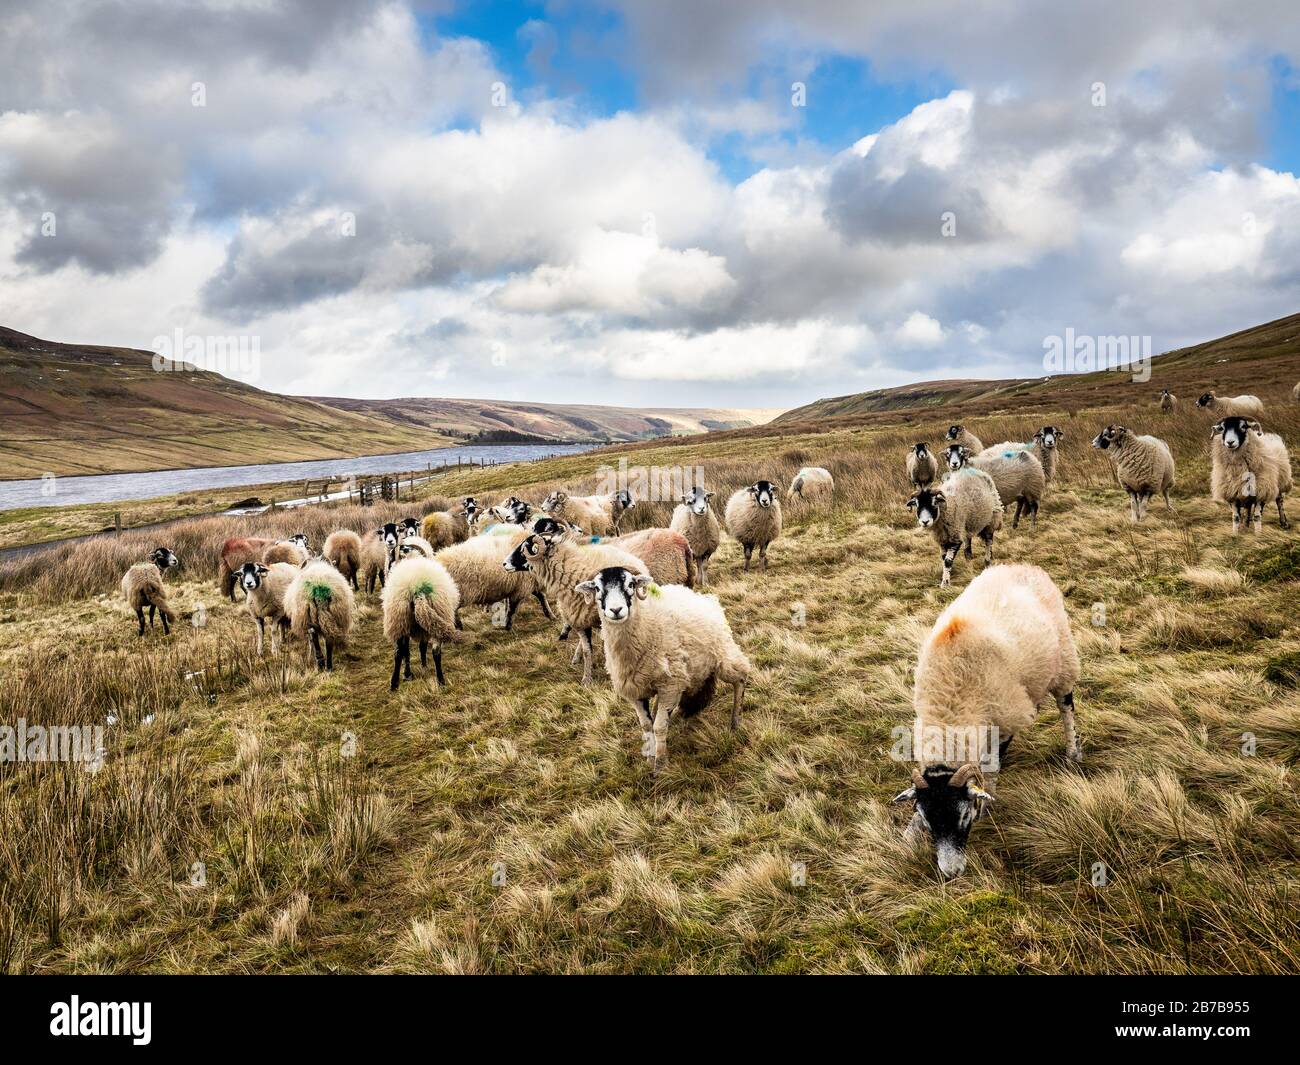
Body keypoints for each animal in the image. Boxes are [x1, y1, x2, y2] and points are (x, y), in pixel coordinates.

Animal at [382, 554, 459, 691]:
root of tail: (418, 591)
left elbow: (409, 650)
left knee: (399, 652)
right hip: (431, 618)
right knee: (435, 652)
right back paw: (440, 680)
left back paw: (395, 682)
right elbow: (419, 647)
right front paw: (422, 666)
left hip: (401, 622)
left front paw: (411, 672)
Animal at [503, 529, 648, 685]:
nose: (504, 563)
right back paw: (576, 658)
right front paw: (587, 678)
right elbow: (587, 651)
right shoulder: (580, 620)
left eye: (523, 549)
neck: (572, 573)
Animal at [575, 566, 751, 773]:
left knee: (740, 676)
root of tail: (704, 597)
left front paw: (660, 765)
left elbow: (659, 726)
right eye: (597, 588)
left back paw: (735, 721)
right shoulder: (634, 691)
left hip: (722, 654)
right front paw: (650, 756)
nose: (616, 610)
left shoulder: (670, 686)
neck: (645, 627)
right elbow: (646, 725)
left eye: (631, 584)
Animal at [890, 563, 1082, 878]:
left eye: (964, 815)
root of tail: (1022, 565)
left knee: (1066, 707)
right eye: (928, 820)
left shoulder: (1004, 718)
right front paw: (910, 832)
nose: (951, 872)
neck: (950, 713)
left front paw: (988, 800)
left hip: (1064, 660)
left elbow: (993, 766)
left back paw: (1073, 752)